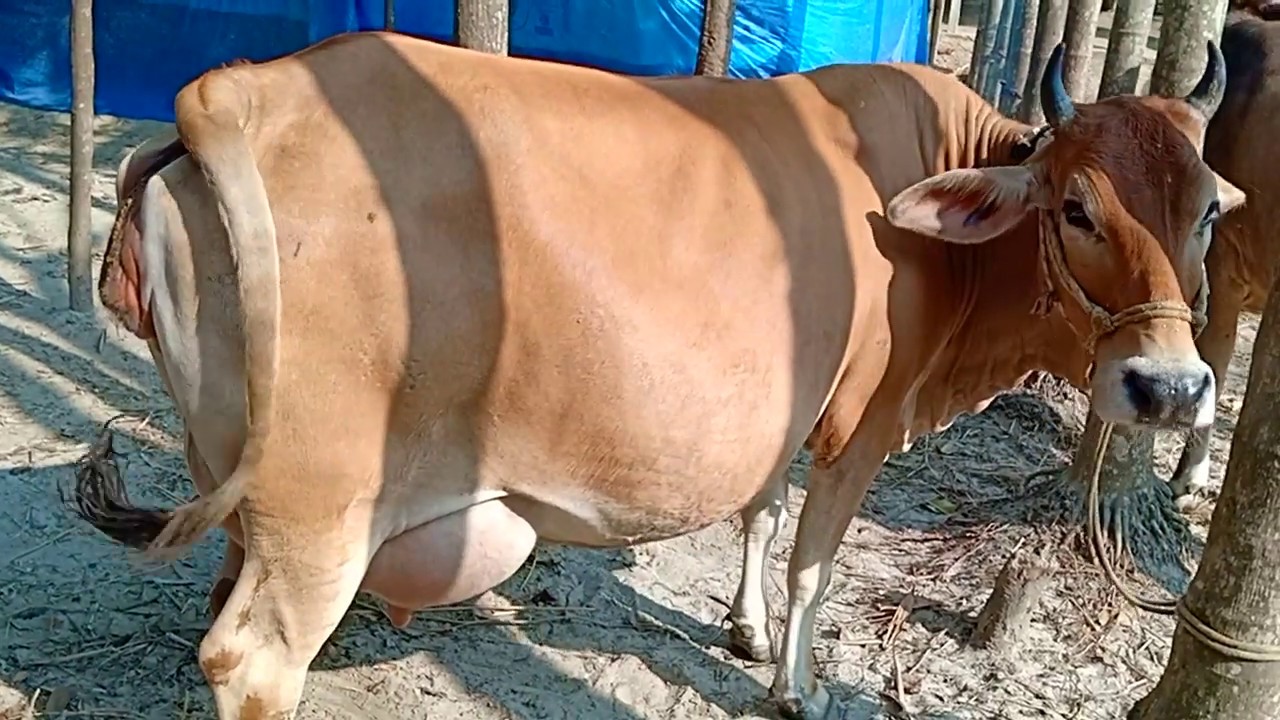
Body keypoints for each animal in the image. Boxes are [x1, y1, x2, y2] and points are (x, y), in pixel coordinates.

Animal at [74, 30, 1240, 720]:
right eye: (1076, 207)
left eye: (1208, 211)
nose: (1172, 388)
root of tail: (237, 93)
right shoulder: (859, 426)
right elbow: (815, 560)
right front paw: (795, 685)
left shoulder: (784, 410)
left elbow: (763, 514)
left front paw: (744, 626)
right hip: (320, 511)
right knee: (252, 661)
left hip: (242, 483)